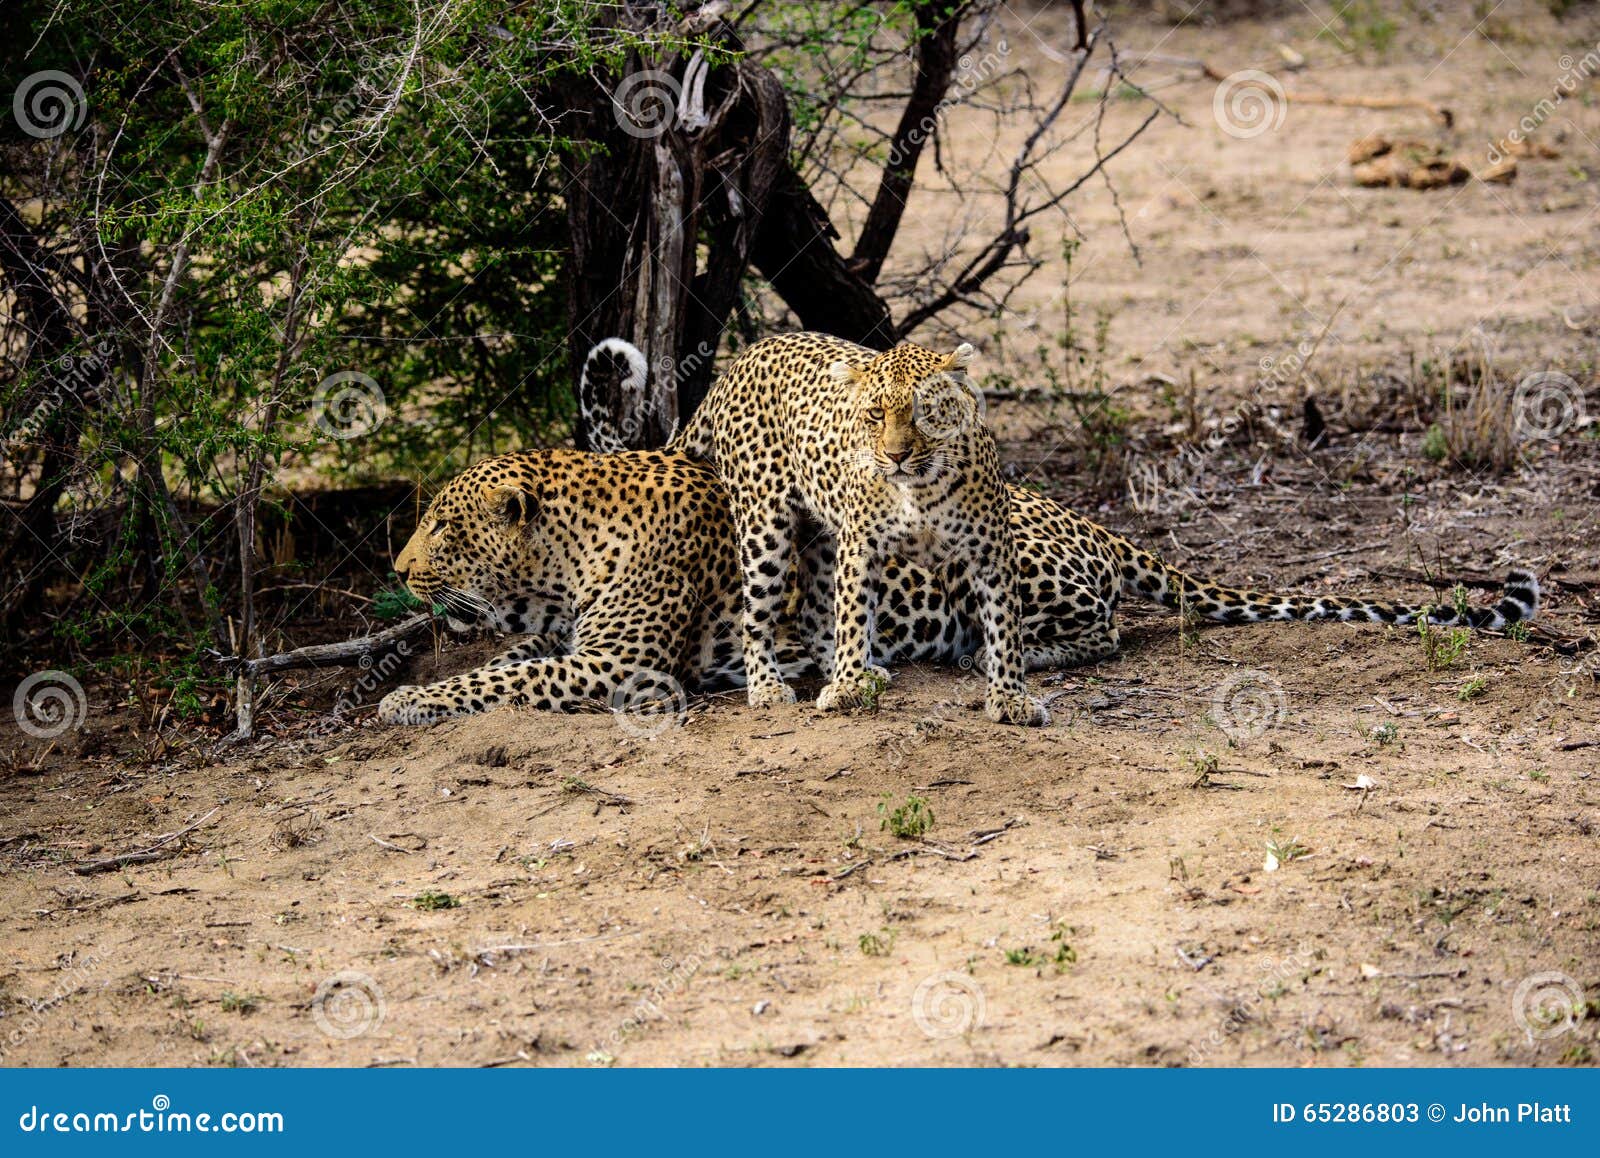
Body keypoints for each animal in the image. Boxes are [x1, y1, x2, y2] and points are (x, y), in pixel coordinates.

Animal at [671, 331, 1048, 727]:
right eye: (876, 413)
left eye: (924, 411)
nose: (897, 456)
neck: (921, 488)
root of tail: (745, 358)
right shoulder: (860, 545)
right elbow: (853, 617)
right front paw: (847, 687)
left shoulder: (993, 549)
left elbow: (1005, 627)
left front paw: (1011, 698)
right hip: (764, 526)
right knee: (755, 617)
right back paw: (768, 686)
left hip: (822, 533)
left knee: (810, 615)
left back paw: (858, 671)